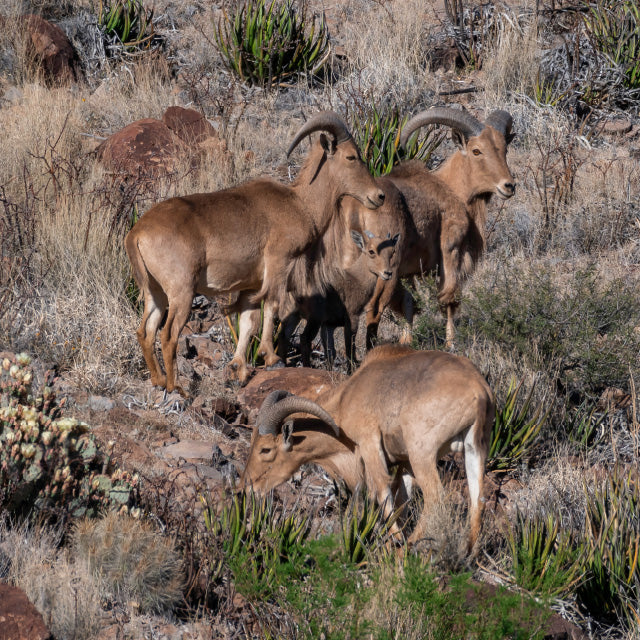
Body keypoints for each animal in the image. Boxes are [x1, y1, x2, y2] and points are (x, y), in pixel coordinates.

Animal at [125, 112, 385, 394]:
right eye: (351, 157)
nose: (379, 196)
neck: (300, 204)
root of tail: (136, 234)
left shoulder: (251, 284)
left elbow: (249, 321)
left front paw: (238, 370)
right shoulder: (279, 262)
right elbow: (272, 306)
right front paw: (271, 357)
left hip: (154, 292)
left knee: (146, 331)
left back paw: (158, 380)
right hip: (181, 291)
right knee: (168, 334)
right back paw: (176, 387)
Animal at [242, 344, 496, 553]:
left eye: (265, 450)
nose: (247, 488)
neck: (346, 398)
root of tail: (478, 390)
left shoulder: (370, 444)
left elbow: (383, 491)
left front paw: (395, 540)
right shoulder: (404, 463)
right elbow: (402, 498)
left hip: (422, 453)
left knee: (436, 497)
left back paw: (410, 546)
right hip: (475, 448)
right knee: (478, 499)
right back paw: (466, 553)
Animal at [380, 108, 516, 348]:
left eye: (504, 149)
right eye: (476, 151)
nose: (508, 186)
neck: (451, 189)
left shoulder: (407, 271)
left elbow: (408, 303)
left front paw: (406, 341)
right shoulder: (452, 250)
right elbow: (449, 299)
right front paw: (451, 343)